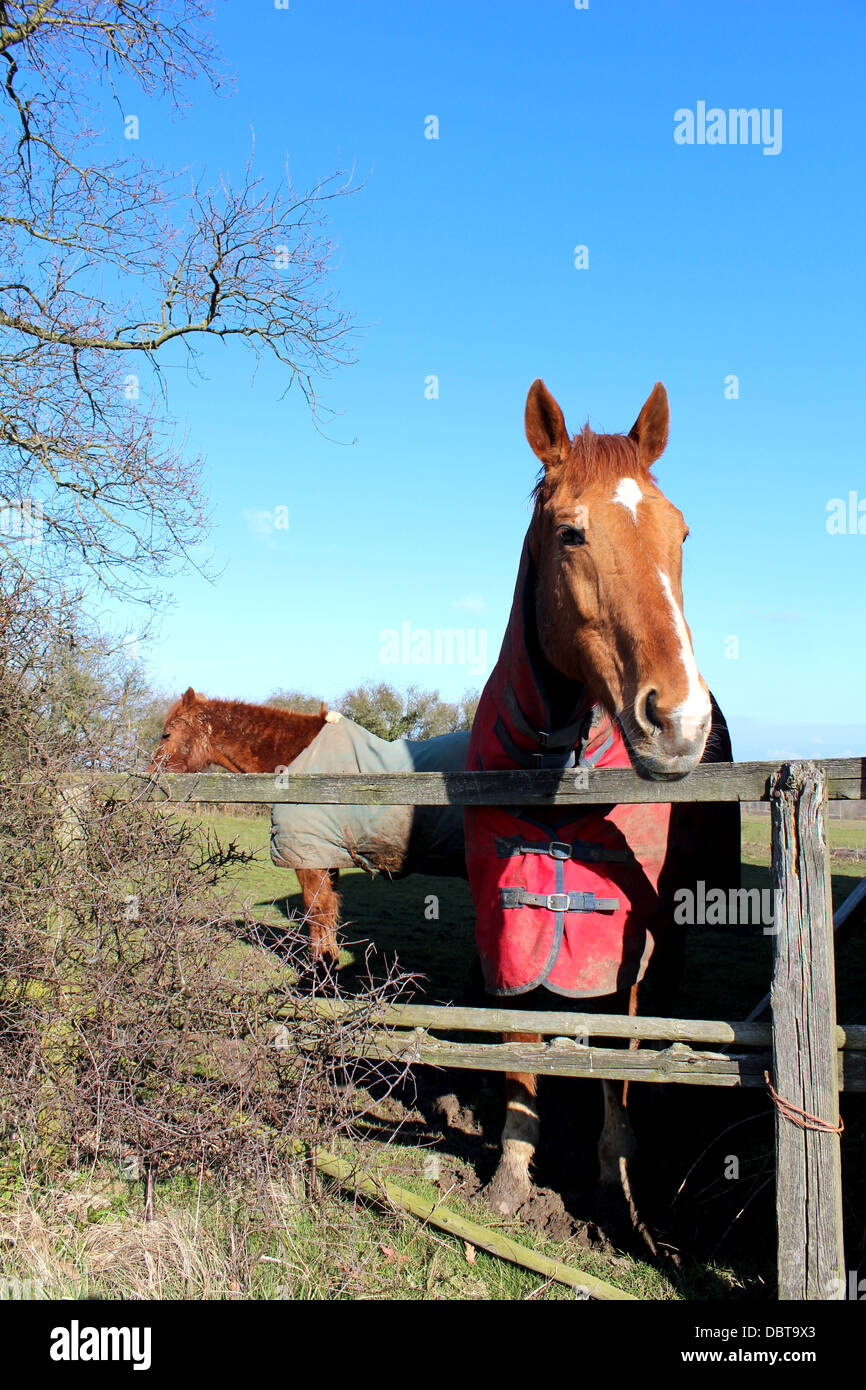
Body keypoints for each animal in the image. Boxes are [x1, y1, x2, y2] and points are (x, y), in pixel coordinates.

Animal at [465, 380, 739, 1238]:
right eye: (571, 533)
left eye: (681, 532)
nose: (680, 722)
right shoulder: (503, 918)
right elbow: (515, 1041)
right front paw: (511, 1176)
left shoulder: (632, 939)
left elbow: (619, 1055)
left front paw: (615, 1188)